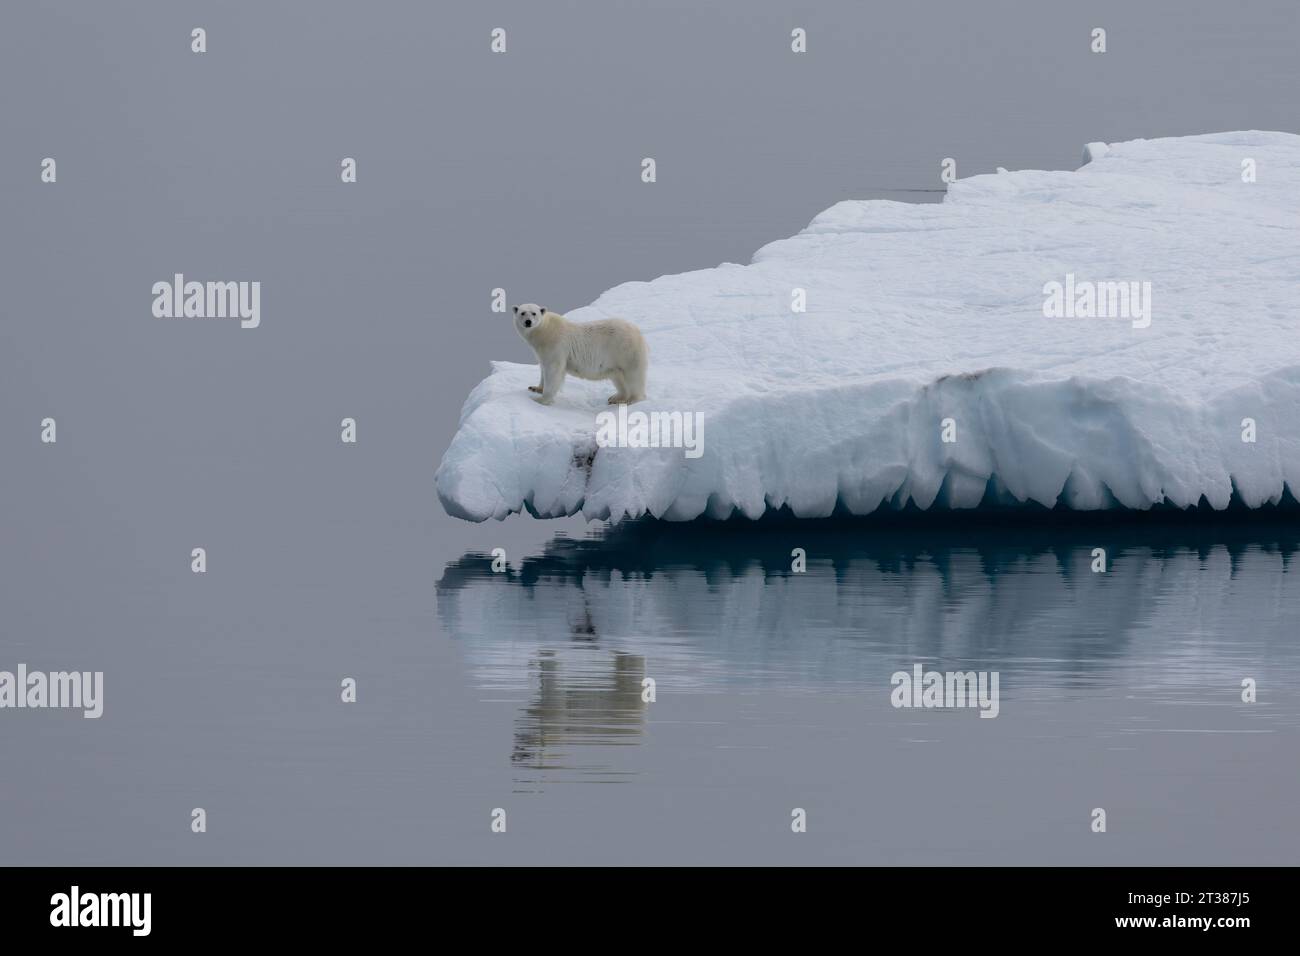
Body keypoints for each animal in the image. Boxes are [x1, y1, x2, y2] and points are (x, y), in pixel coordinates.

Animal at [512, 304, 648, 406]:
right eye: (522, 313)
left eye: (534, 313)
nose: (528, 322)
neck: (544, 331)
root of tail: (637, 331)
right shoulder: (541, 350)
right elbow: (543, 368)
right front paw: (535, 388)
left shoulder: (555, 345)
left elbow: (553, 370)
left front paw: (541, 399)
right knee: (618, 376)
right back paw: (616, 398)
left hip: (625, 350)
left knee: (633, 376)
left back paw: (632, 400)